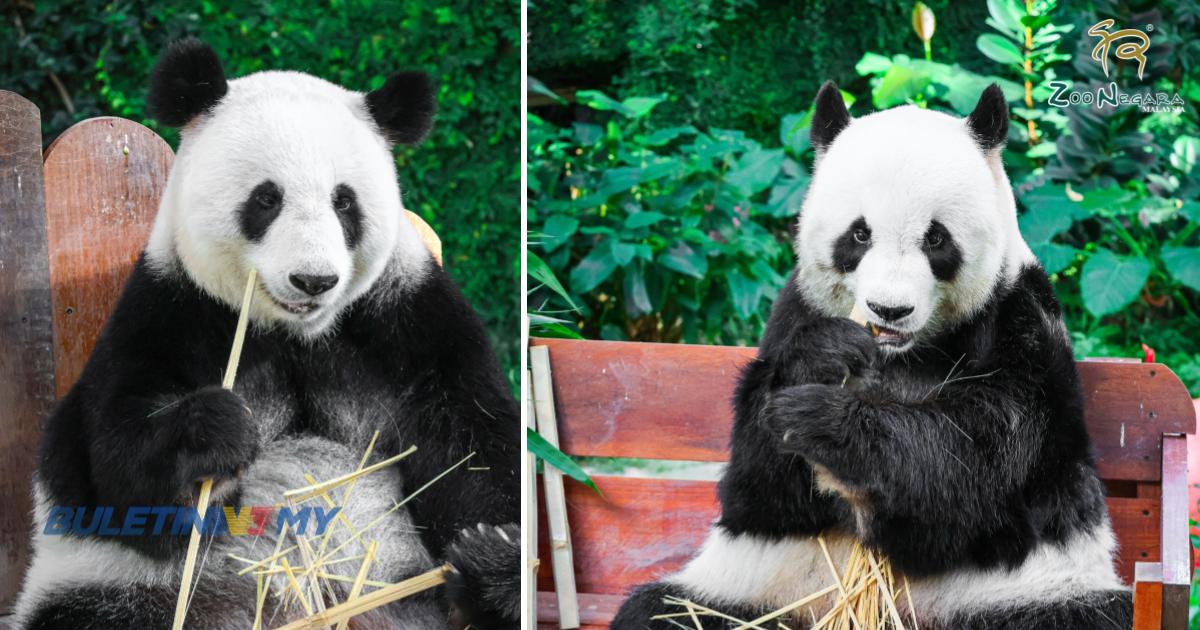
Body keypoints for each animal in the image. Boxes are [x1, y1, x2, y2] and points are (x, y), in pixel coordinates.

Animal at [14, 39, 518, 630]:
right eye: (266, 198)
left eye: (344, 202)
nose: (314, 280)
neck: (296, 331)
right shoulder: (169, 314)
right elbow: (104, 462)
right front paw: (217, 430)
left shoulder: (405, 322)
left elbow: (473, 443)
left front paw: (493, 561)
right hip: (133, 590)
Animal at [611, 83, 1131, 629]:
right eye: (859, 234)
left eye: (936, 238)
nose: (889, 309)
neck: (902, 353)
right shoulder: (795, 311)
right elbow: (760, 489)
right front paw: (823, 360)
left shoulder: (1022, 319)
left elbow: (981, 465)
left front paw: (828, 423)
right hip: (756, 585)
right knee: (664, 610)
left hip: (1027, 590)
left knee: (1083, 615)